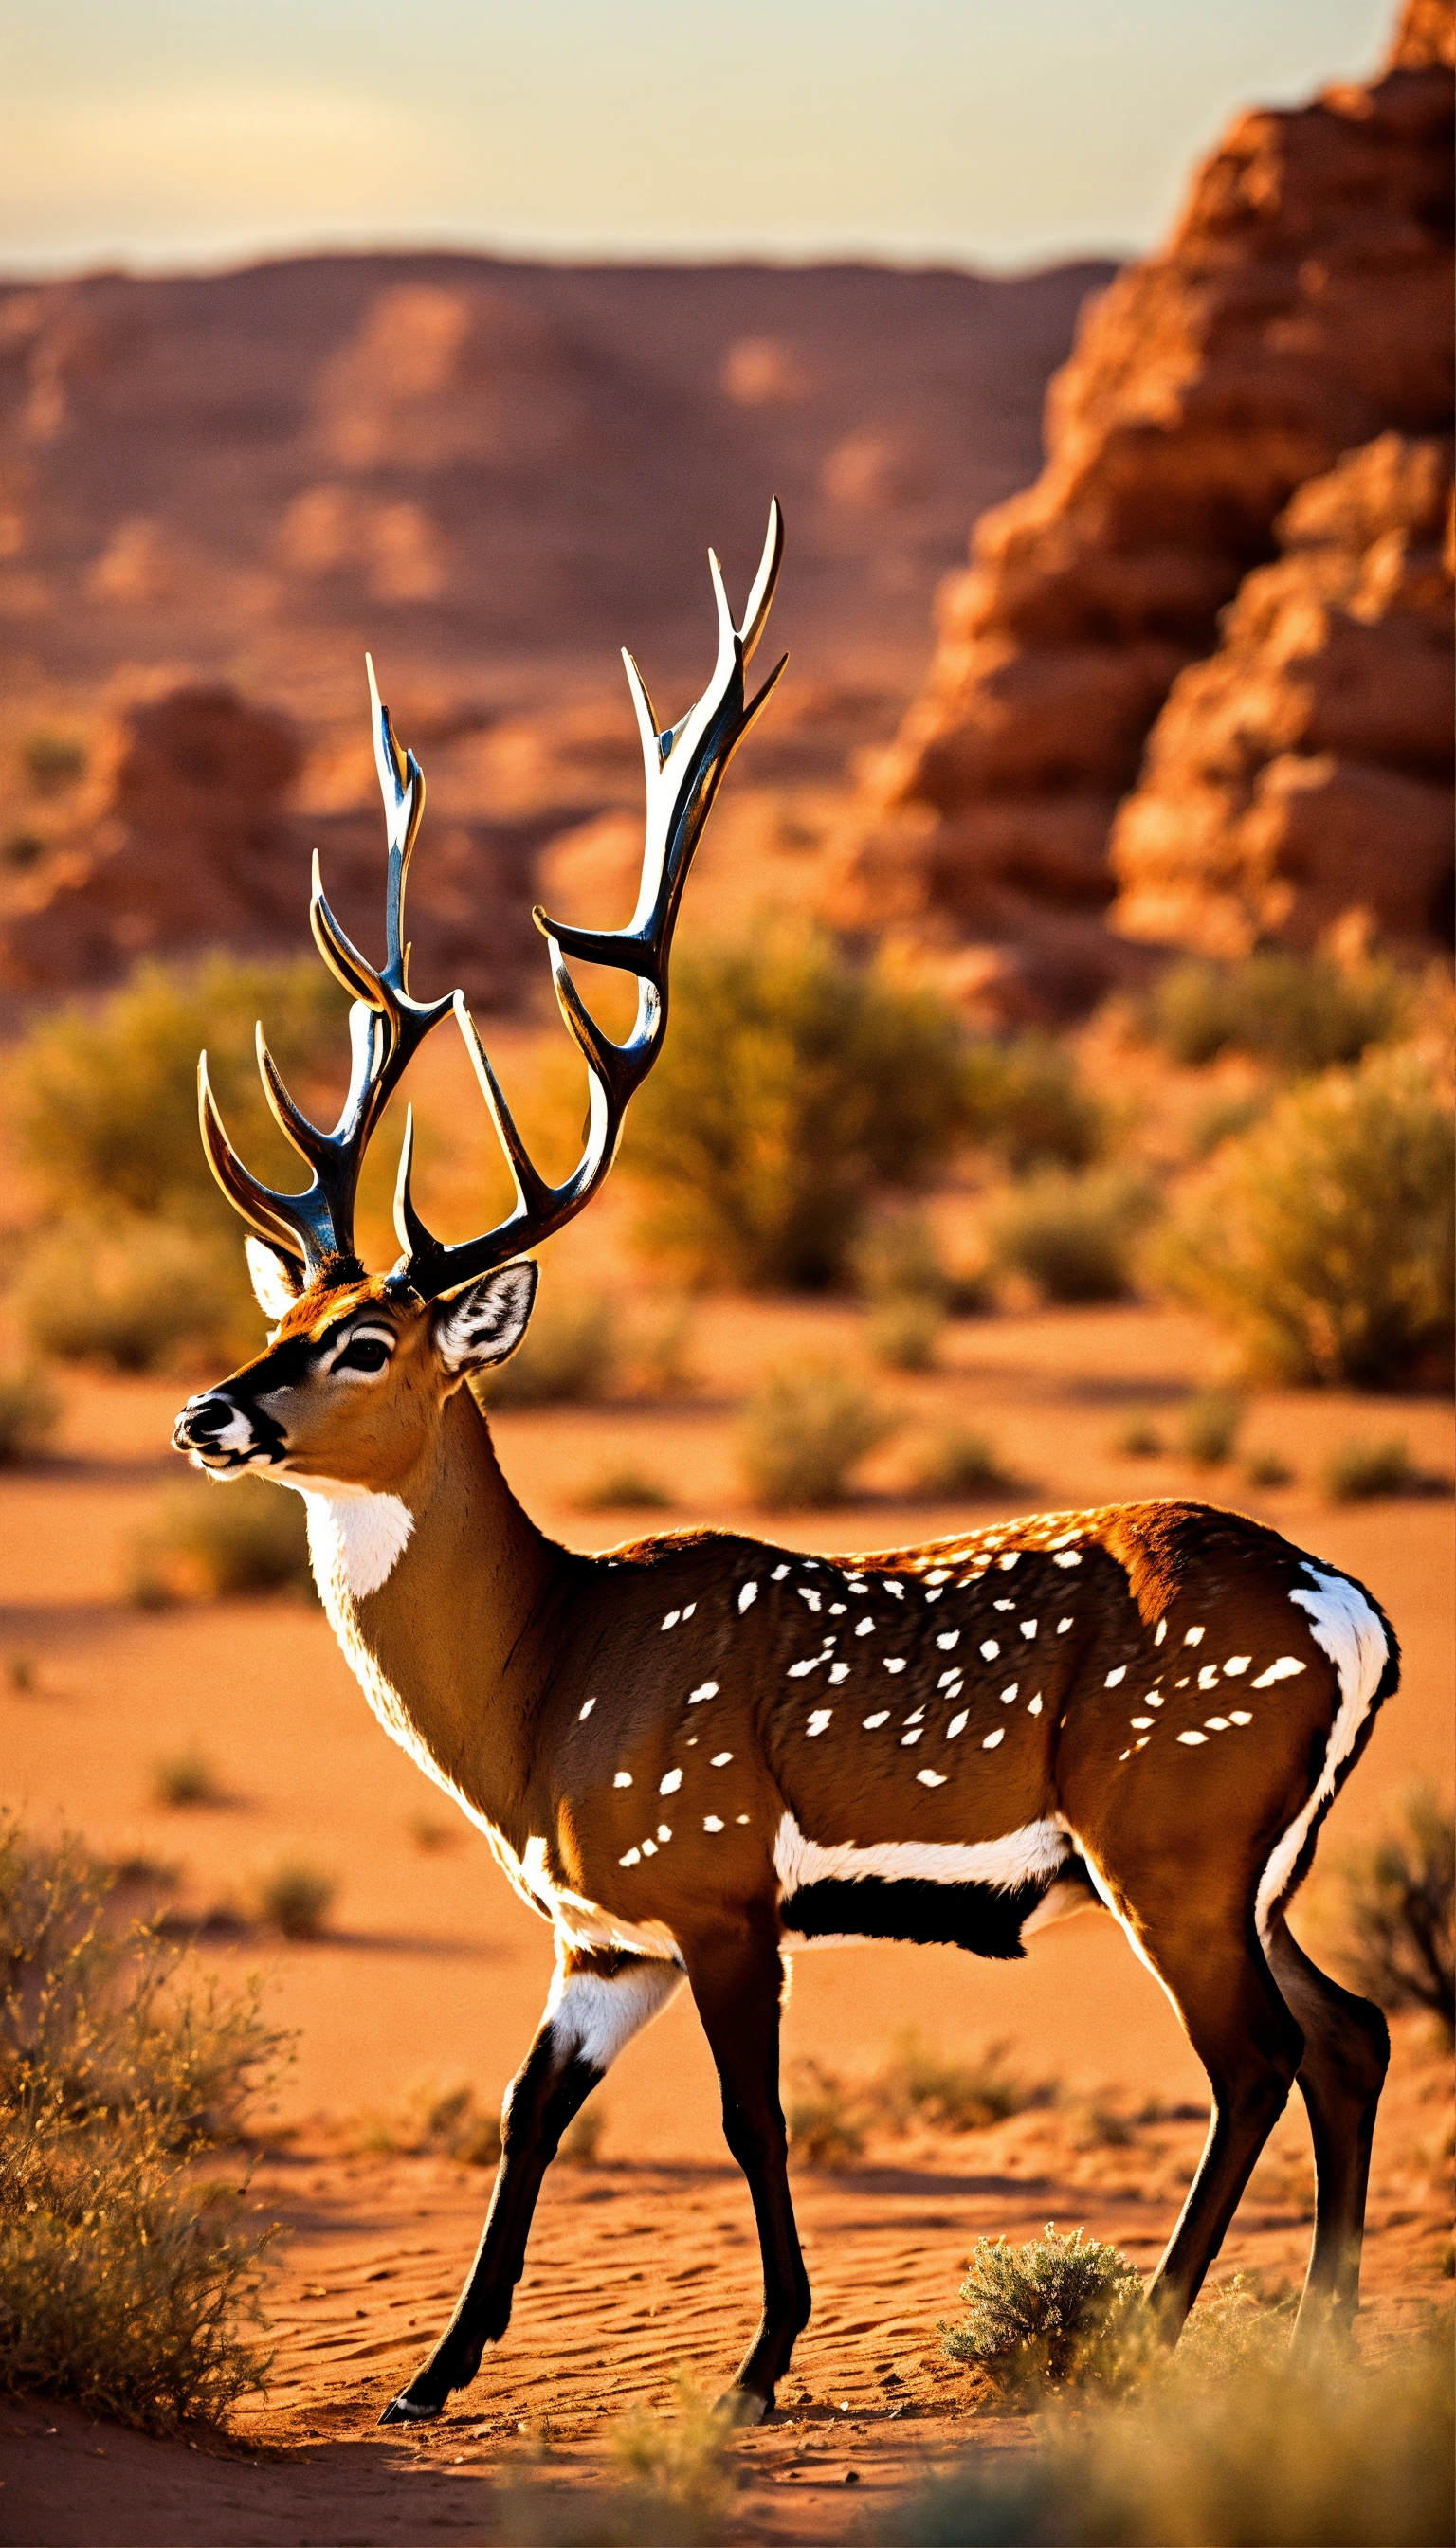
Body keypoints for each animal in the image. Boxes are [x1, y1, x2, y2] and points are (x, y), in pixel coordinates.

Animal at [173, 503, 1398, 2429]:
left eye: (371, 1341)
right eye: (286, 1307)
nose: (208, 1414)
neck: (545, 1681)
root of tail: (1355, 1611)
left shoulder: (720, 1883)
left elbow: (754, 2120)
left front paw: (753, 2370)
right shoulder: (598, 1934)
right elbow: (524, 2116)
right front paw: (432, 2377)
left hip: (1173, 1842)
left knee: (1261, 2055)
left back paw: (1150, 2333)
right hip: (1257, 1860)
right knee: (1353, 2029)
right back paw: (1321, 2341)